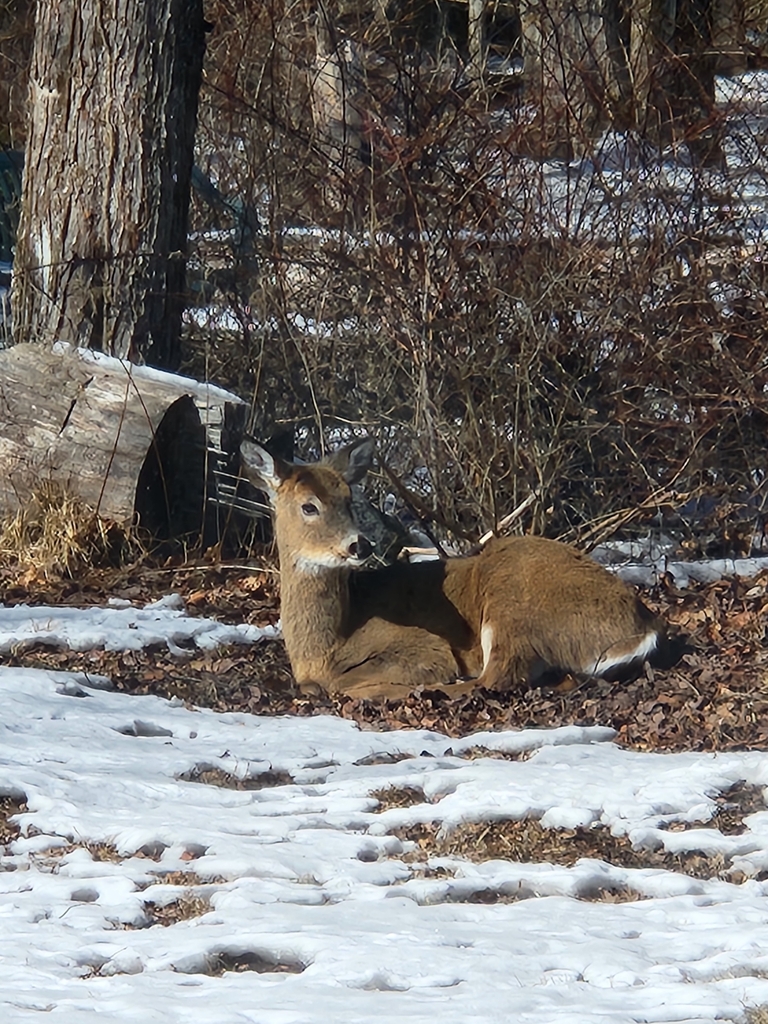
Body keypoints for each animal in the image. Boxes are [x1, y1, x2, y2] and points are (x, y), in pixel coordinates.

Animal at [240, 437, 674, 701]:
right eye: (308, 506)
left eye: (349, 500)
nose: (359, 545)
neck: (326, 643)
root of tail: (644, 626)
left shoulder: (421, 644)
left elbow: (343, 682)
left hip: (513, 602)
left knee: (495, 677)